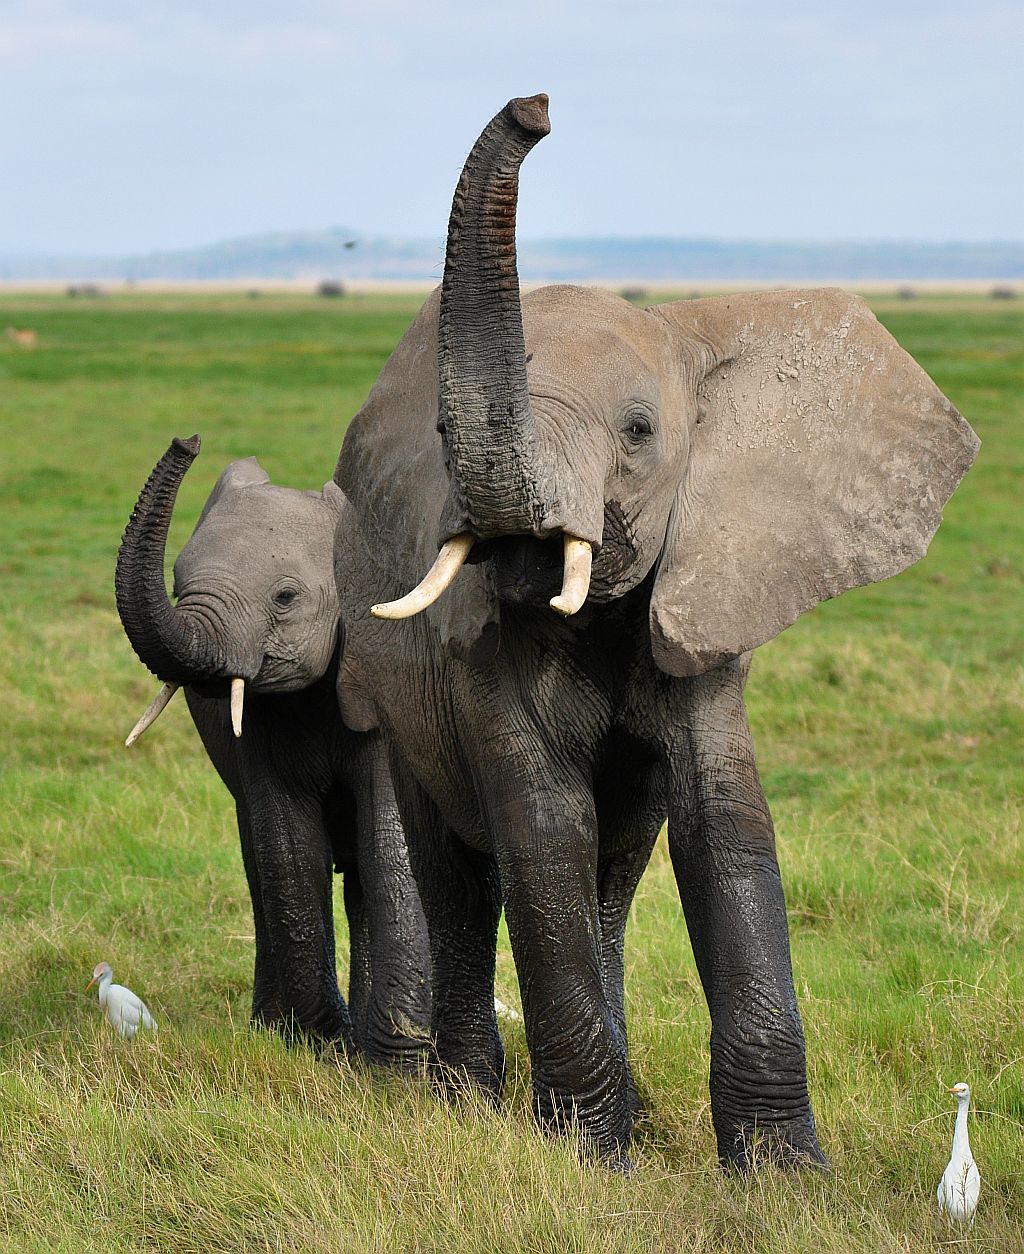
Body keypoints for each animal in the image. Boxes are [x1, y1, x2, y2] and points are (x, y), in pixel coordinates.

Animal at [115, 436, 431, 1061]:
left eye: (285, 598)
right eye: (177, 581)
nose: (188, 441)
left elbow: (390, 845)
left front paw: (397, 1067)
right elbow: (288, 847)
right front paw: (318, 1046)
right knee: (259, 862)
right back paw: (279, 1029)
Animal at [331, 95, 980, 1168]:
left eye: (638, 432)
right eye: (439, 437)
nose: (537, 109)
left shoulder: (713, 588)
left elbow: (723, 826)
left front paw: (782, 1175)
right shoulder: (482, 654)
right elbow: (542, 829)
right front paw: (588, 1158)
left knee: (614, 872)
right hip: (401, 700)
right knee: (458, 874)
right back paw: (465, 1101)